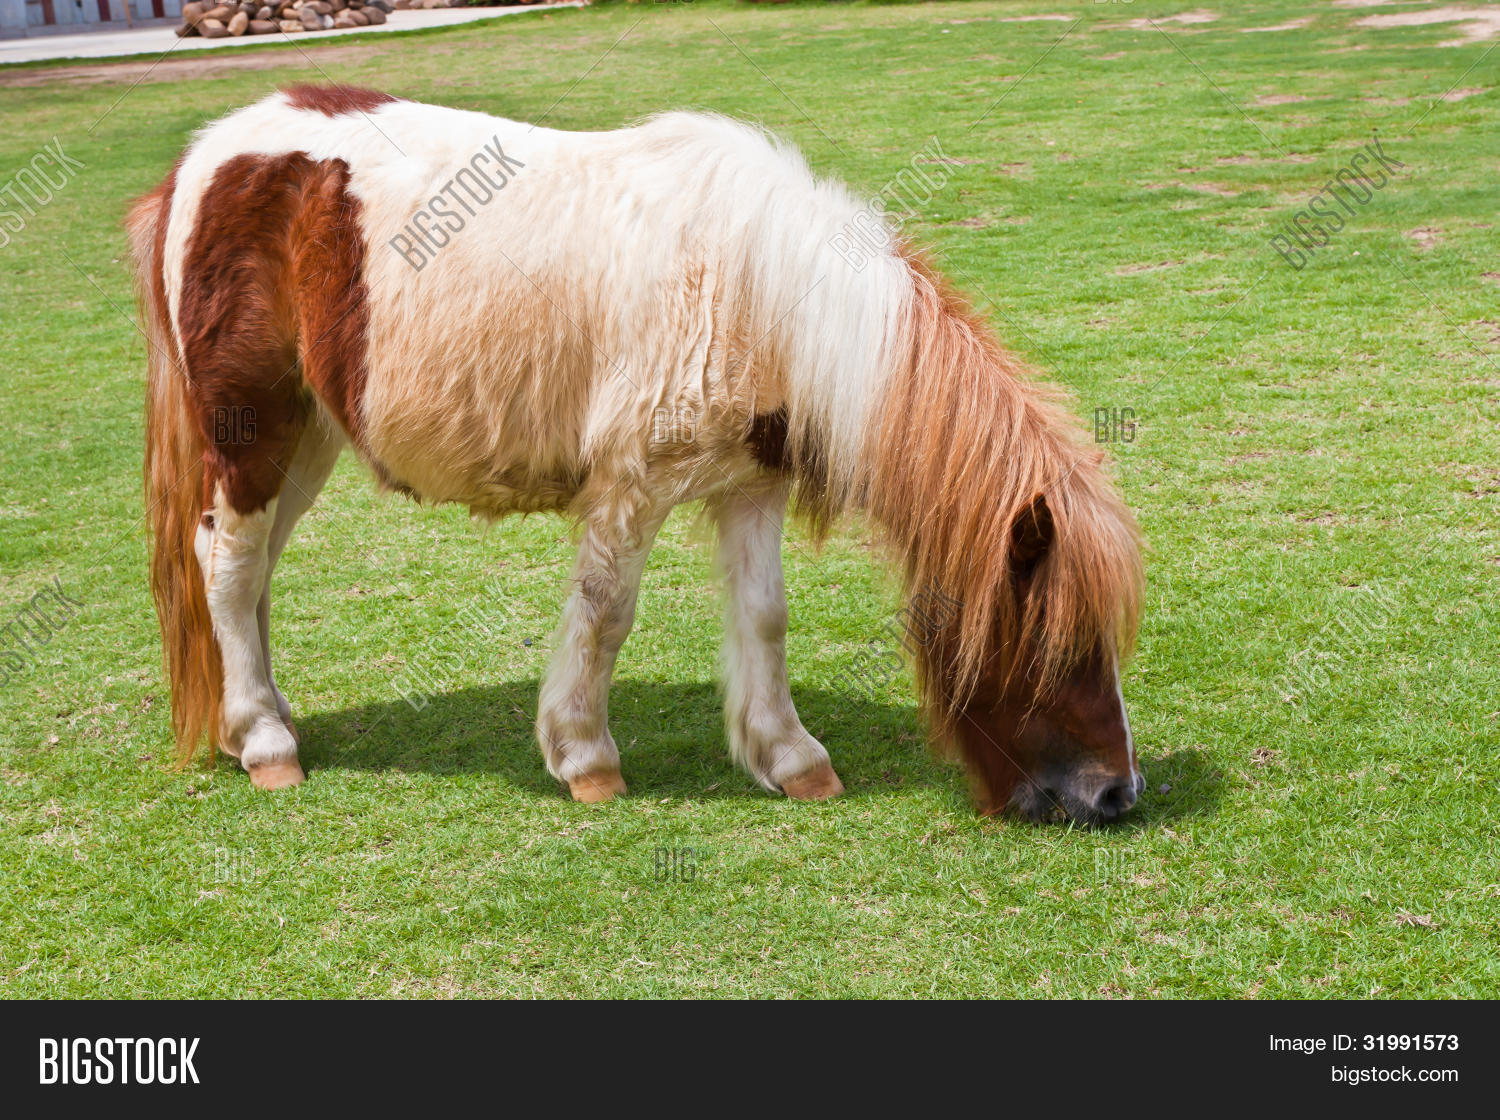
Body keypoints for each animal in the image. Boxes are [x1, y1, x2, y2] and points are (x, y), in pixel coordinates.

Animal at [128, 85, 1144, 824]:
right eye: (1055, 643)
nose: (1117, 794)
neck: (757, 292)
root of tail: (200, 161)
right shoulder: (630, 488)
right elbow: (606, 615)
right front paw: (586, 759)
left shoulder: (751, 488)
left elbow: (764, 619)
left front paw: (791, 758)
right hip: (253, 430)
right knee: (229, 568)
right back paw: (266, 744)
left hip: (307, 439)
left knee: (245, 569)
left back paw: (258, 720)